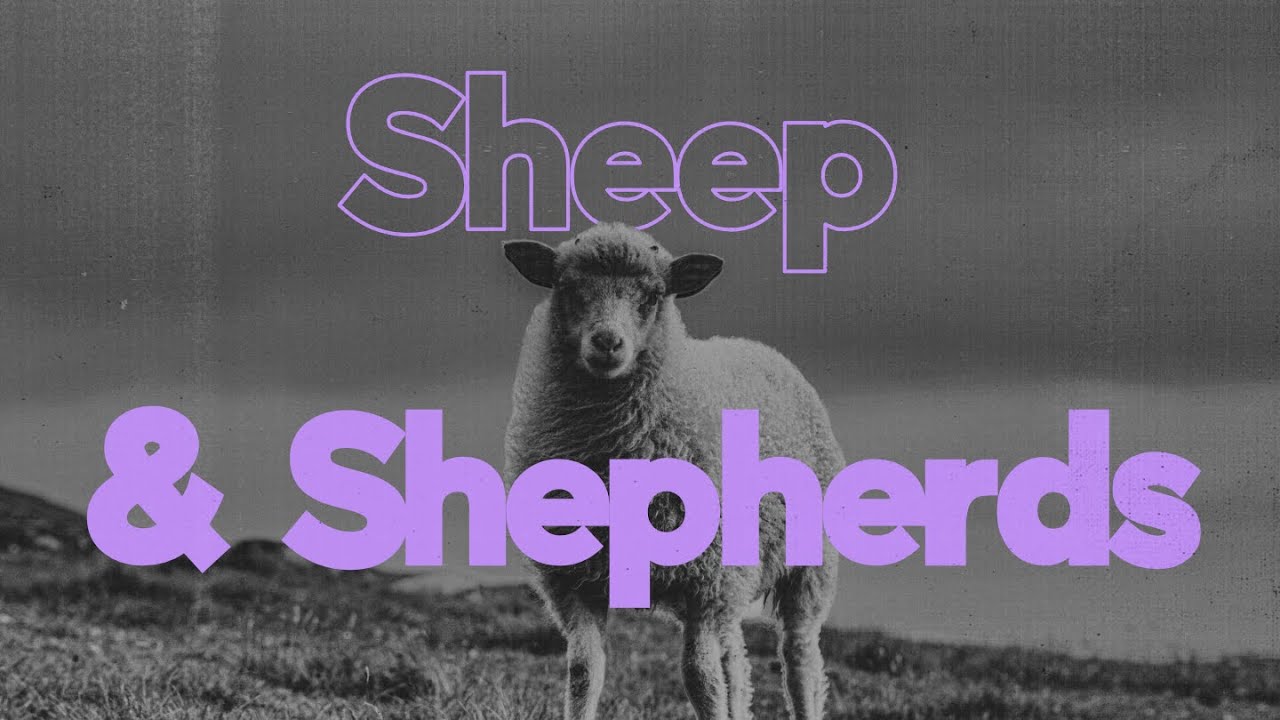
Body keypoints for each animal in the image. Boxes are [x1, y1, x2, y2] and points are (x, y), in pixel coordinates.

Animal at [502, 222, 844, 720]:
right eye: (568, 288)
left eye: (653, 296)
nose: (608, 343)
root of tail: (755, 346)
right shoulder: (574, 582)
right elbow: (584, 671)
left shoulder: (704, 580)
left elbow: (699, 677)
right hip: (734, 580)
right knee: (735, 660)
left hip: (806, 566)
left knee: (798, 656)